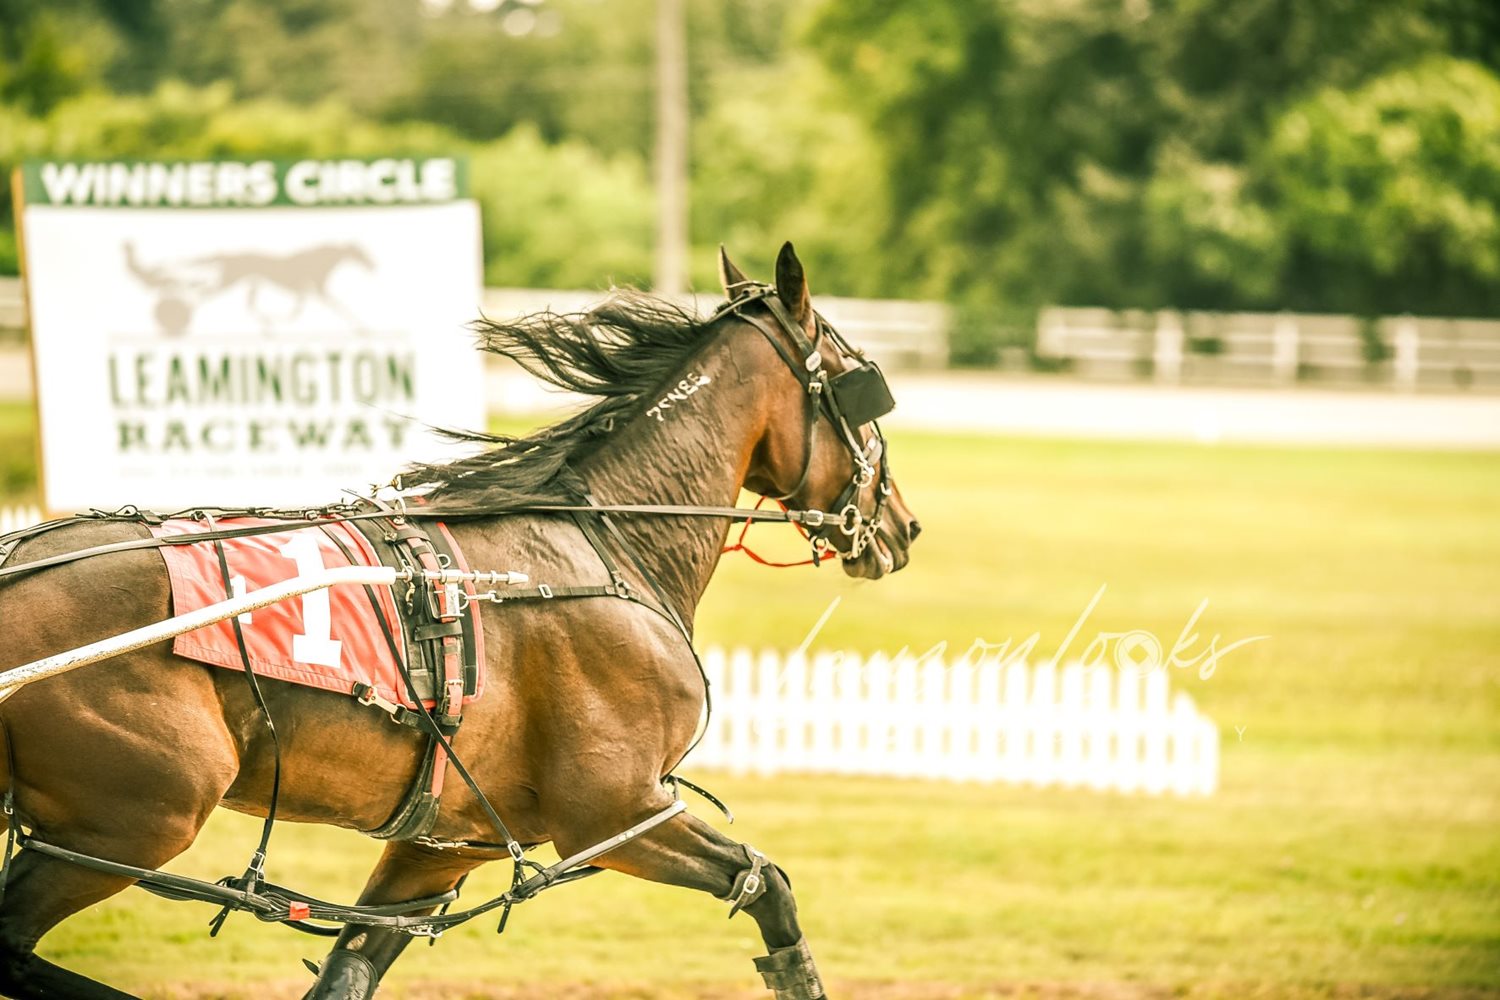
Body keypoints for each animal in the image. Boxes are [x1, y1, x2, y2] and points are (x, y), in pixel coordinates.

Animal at [0, 242, 920, 999]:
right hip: (134, 820)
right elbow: (770, 888)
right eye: (860, 383)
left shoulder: (444, 845)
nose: (902, 526)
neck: (603, 545)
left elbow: (352, 968)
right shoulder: (619, 815)